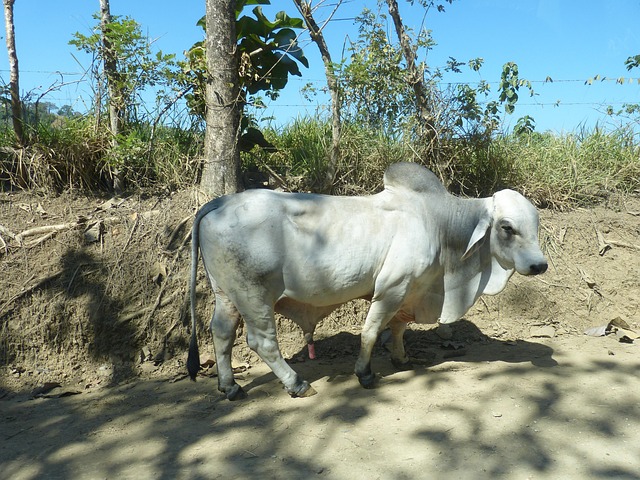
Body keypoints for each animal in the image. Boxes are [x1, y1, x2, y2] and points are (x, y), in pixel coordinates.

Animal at [187, 162, 548, 400]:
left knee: (221, 332)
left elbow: (399, 328)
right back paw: (296, 384)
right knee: (261, 342)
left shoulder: (409, 291)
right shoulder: (391, 288)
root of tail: (219, 201)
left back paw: (229, 386)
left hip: (226, 293)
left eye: (536, 226)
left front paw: (402, 358)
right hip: (254, 294)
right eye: (507, 227)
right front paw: (365, 373)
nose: (539, 265)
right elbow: (372, 331)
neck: (439, 225)